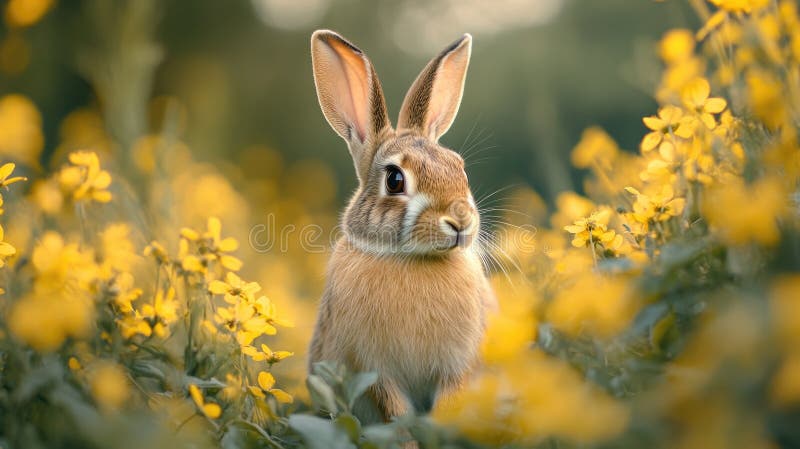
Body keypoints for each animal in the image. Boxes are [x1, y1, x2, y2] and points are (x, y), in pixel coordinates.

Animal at [308, 29, 496, 426]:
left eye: (460, 168)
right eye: (395, 180)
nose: (461, 221)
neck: (412, 259)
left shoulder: (457, 364)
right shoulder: (373, 368)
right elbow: (396, 410)